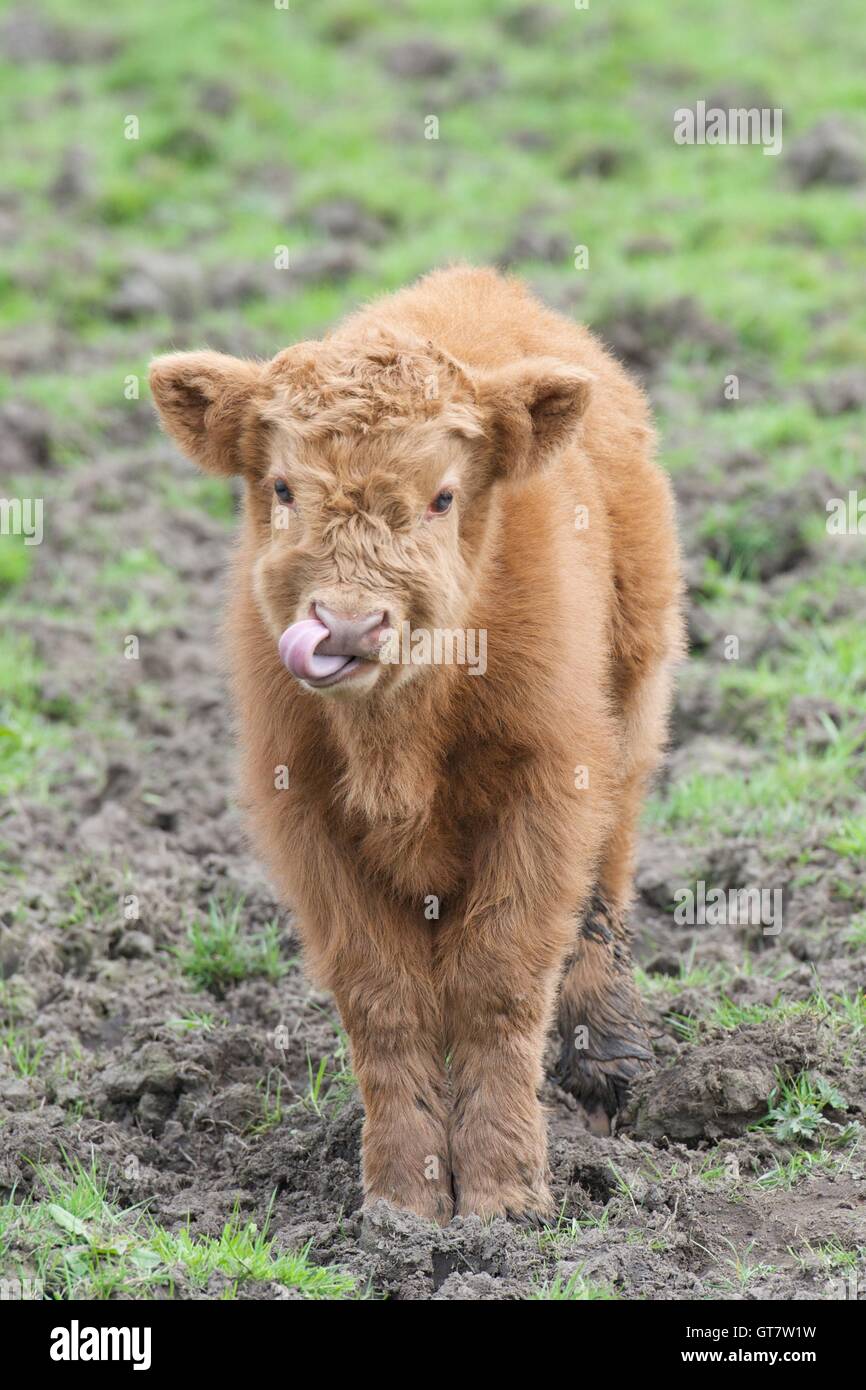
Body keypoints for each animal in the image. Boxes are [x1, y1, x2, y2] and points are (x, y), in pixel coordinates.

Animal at [150, 265, 684, 1224]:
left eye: (442, 495)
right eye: (283, 489)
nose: (347, 625)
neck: (395, 736)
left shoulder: (550, 787)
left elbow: (498, 984)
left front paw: (505, 1194)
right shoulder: (305, 813)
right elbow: (383, 998)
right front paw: (404, 1199)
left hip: (635, 694)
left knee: (611, 879)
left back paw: (606, 1064)